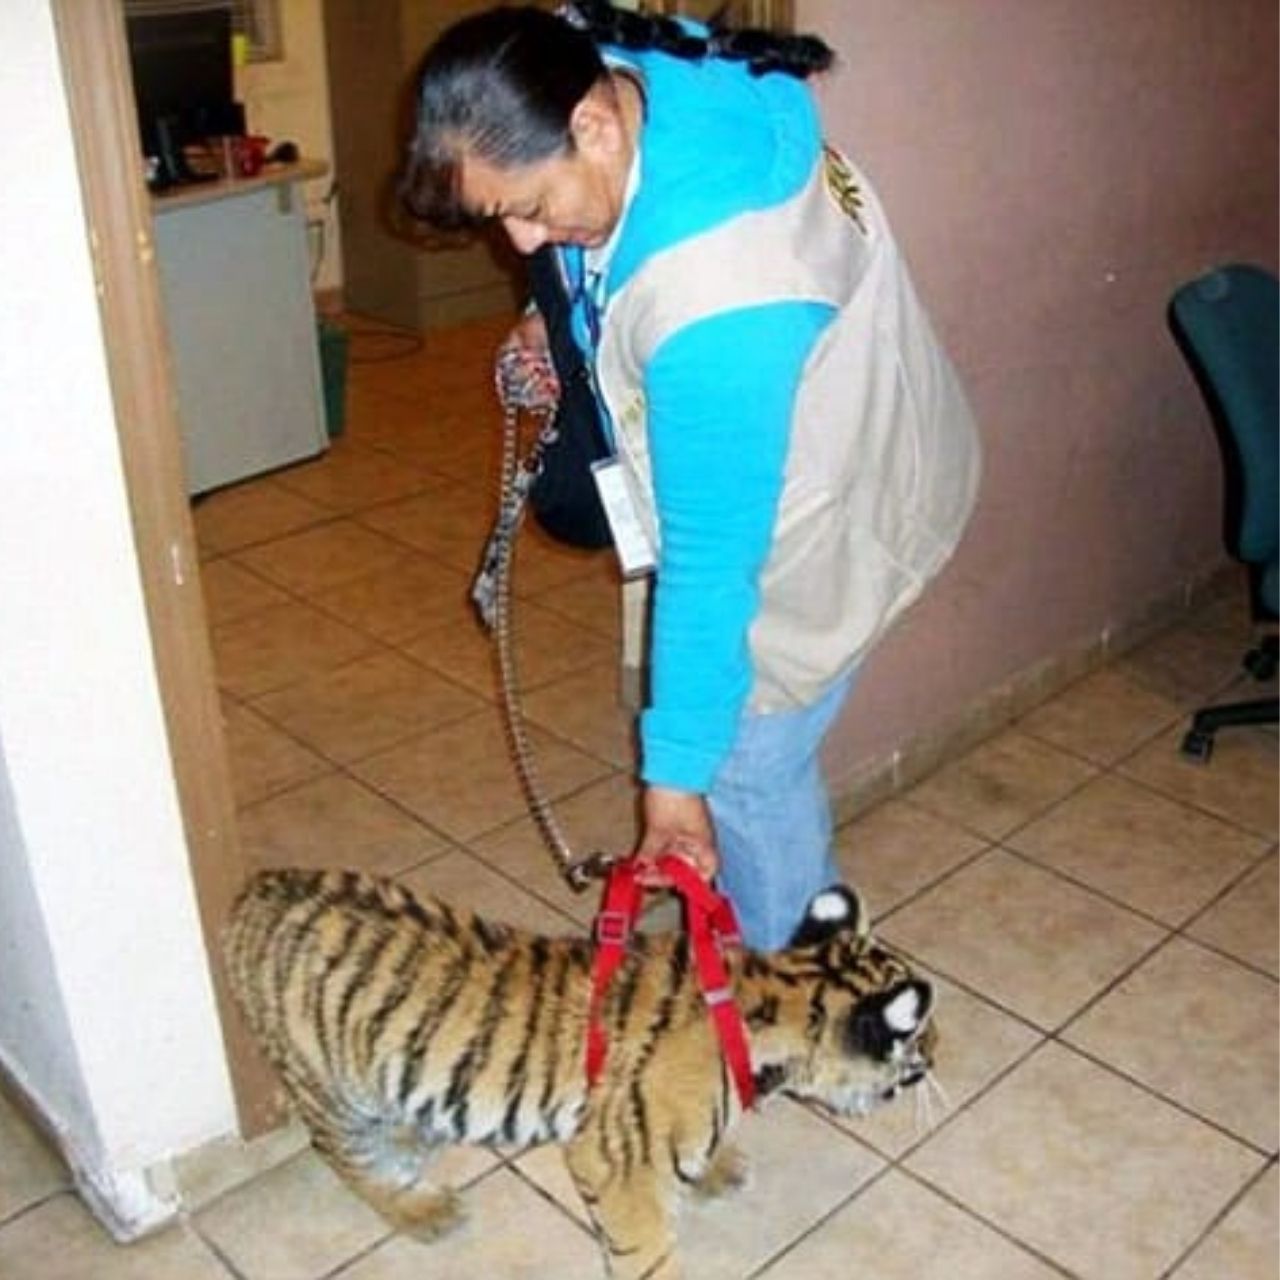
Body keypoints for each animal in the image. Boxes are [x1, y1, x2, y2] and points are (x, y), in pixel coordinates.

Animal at [223, 867, 937, 1280]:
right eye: (923, 1035)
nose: (940, 1055)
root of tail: (253, 892)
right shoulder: (613, 1164)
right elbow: (646, 1250)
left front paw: (716, 1168)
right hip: (329, 1087)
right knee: (343, 1155)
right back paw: (419, 1208)